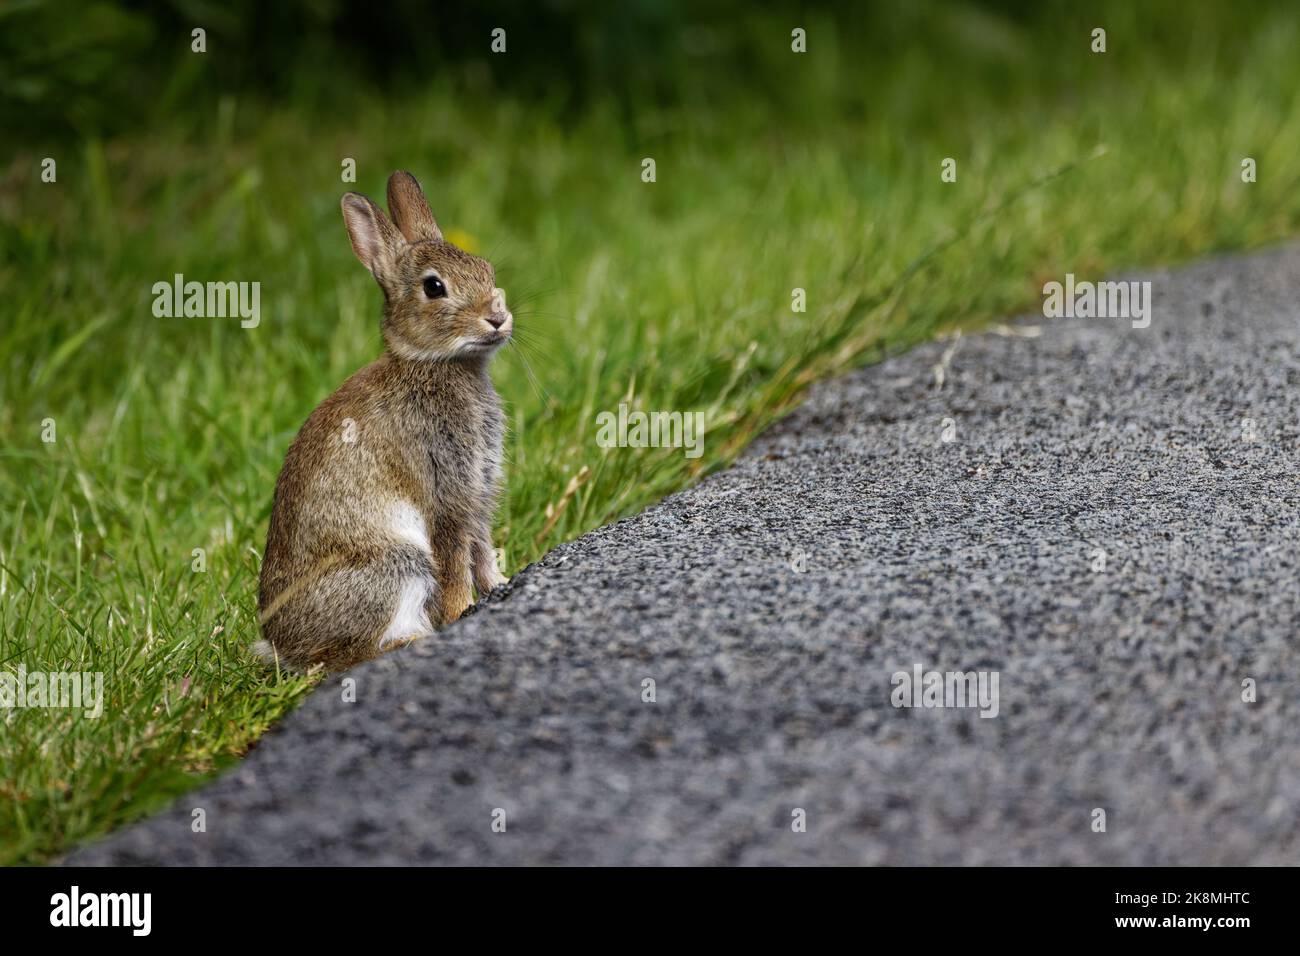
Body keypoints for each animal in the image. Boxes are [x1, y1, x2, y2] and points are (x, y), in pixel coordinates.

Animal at [254, 170, 512, 672]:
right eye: (435, 287)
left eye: (486, 269)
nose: (497, 318)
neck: (431, 363)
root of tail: (280, 644)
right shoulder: (445, 491)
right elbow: (455, 556)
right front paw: (463, 610)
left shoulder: (477, 490)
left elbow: (481, 547)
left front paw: (500, 586)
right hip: (397, 562)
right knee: (345, 655)